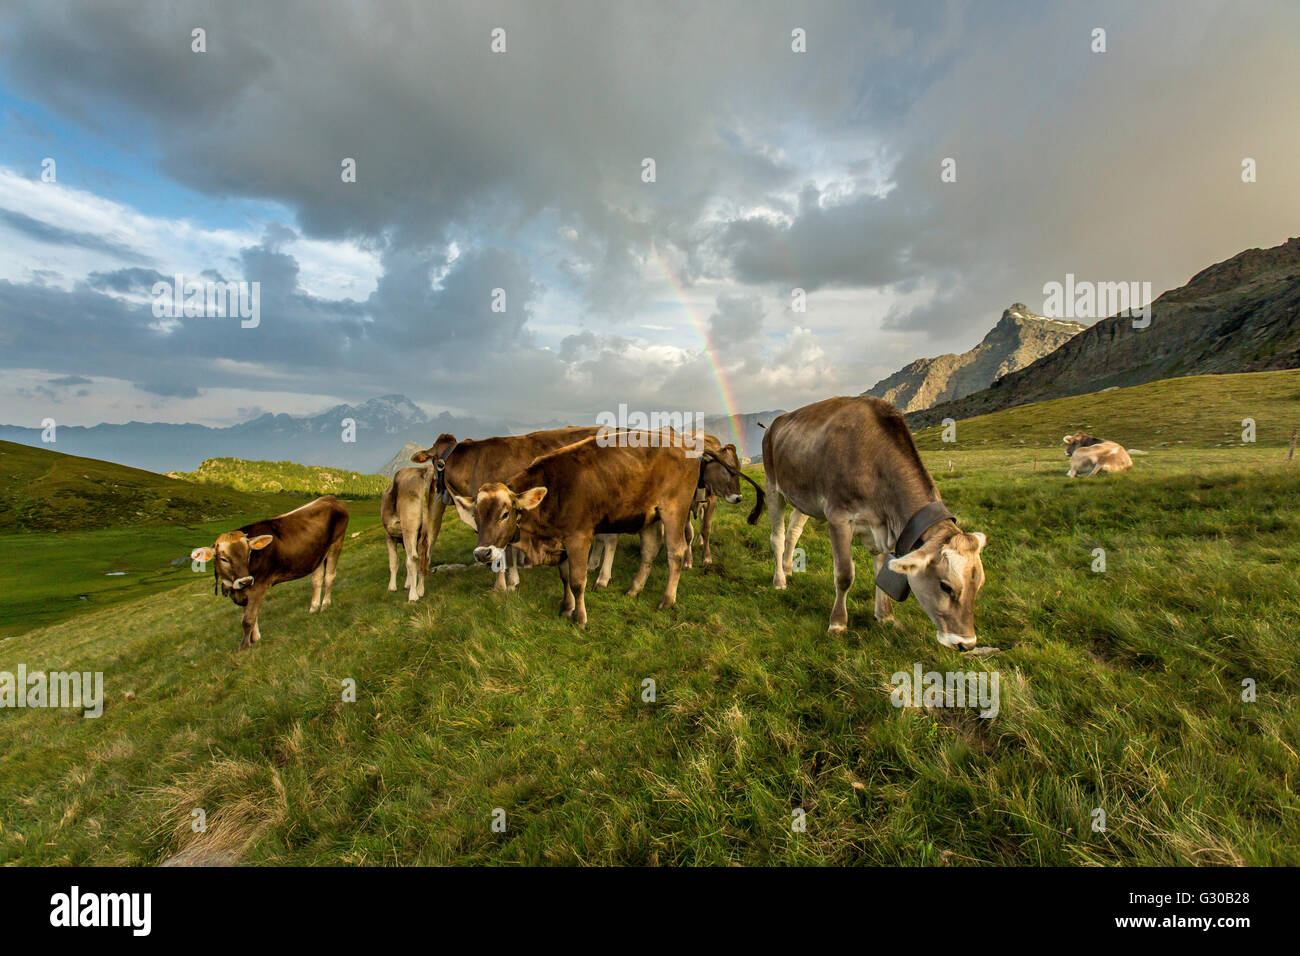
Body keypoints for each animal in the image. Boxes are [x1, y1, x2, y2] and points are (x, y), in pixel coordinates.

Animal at [190, 496, 349, 651]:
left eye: (248, 553)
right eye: (223, 559)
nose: (246, 580)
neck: (234, 587)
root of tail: (331, 498)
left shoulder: (259, 586)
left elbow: (248, 619)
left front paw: (244, 646)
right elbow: (250, 615)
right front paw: (255, 638)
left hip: (336, 543)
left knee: (329, 576)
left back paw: (325, 605)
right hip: (317, 554)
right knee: (316, 579)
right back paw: (313, 608)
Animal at [381, 466, 434, 601]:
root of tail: (422, 470)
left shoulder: (389, 535)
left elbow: (394, 562)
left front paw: (392, 587)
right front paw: (408, 583)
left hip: (409, 526)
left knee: (413, 559)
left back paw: (413, 595)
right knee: (425, 557)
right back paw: (420, 590)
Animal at [410, 427, 617, 592]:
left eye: (436, 463)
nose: (436, 489)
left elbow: (505, 552)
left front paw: (503, 585)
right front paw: (512, 579)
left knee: (611, 539)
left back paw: (602, 578)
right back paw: (592, 565)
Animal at [452, 432, 713, 626]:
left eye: (505, 514)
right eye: (476, 516)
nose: (482, 553)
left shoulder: (579, 538)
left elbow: (578, 581)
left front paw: (580, 617)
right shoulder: (560, 543)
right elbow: (565, 578)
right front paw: (566, 608)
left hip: (674, 510)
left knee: (676, 552)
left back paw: (667, 600)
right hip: (647, 516)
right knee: (649, 551)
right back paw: (634, 589)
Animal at [761, 396, 988, 649]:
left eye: (979, 585)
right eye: (946, 586)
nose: (966, 643)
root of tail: (774, 425)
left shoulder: (882, 528)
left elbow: (881, 570)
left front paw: (885, 616)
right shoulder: (838, 517)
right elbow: (844, 575)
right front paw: (837, 623)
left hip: (803, 498)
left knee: (794, 531)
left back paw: (788, 567)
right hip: (773, 486)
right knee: (778, 537)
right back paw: (780, 579)